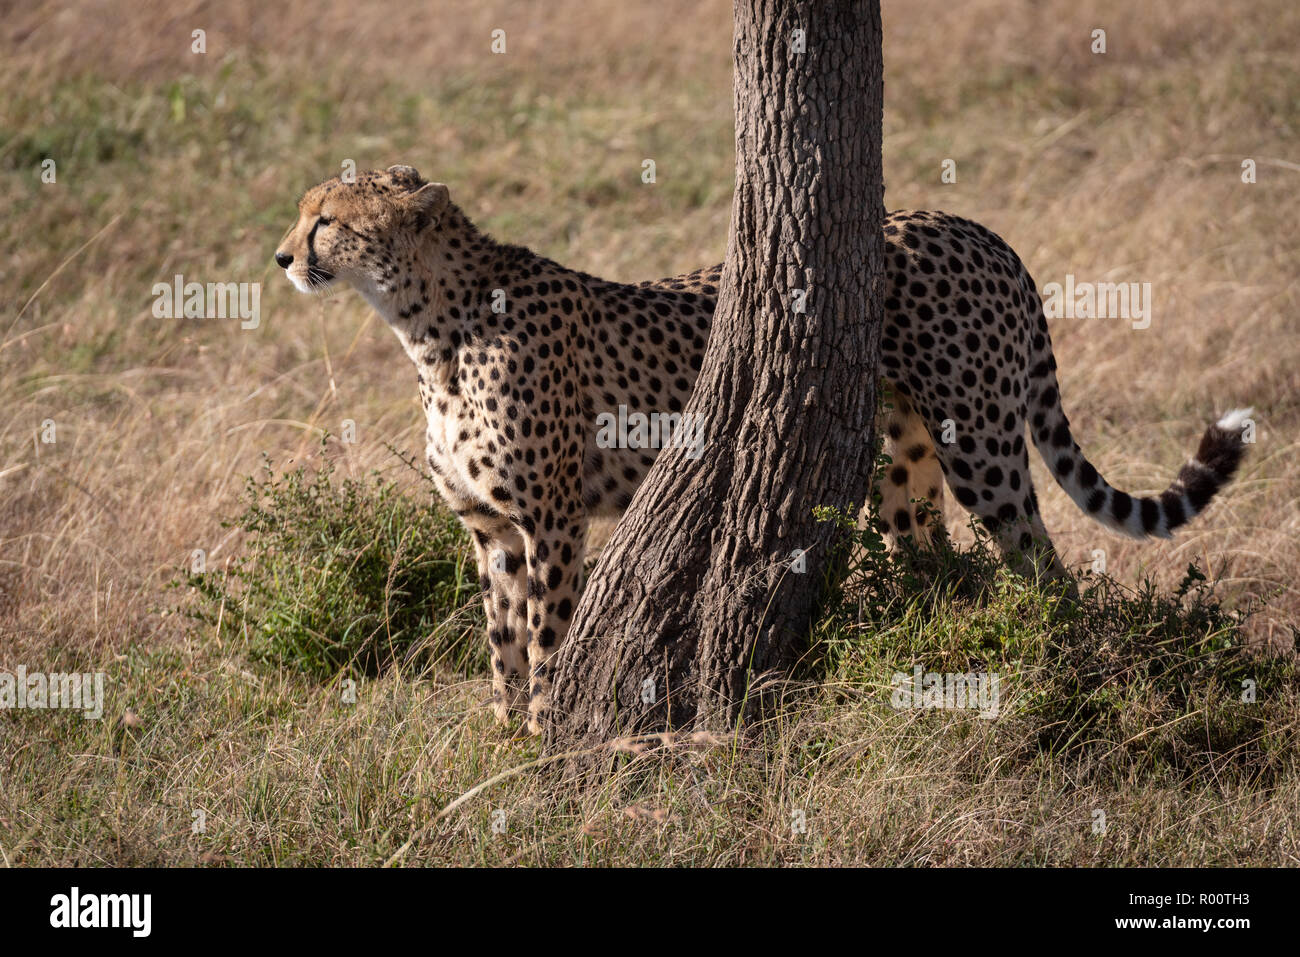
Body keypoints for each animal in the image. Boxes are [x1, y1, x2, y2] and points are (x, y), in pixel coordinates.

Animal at [275, 165, 1250, 734]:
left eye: (327, 221)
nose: (282, 256)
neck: (428, 326)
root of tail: (973, 225)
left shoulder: (551, 524)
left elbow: (548, 647)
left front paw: (547, 756)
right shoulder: (492, 532)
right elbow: (502, 652)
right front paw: (504, 747)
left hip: (982, 447)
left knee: (1042, 564)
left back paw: (1065, 677)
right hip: (900, 469)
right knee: (934, 565)